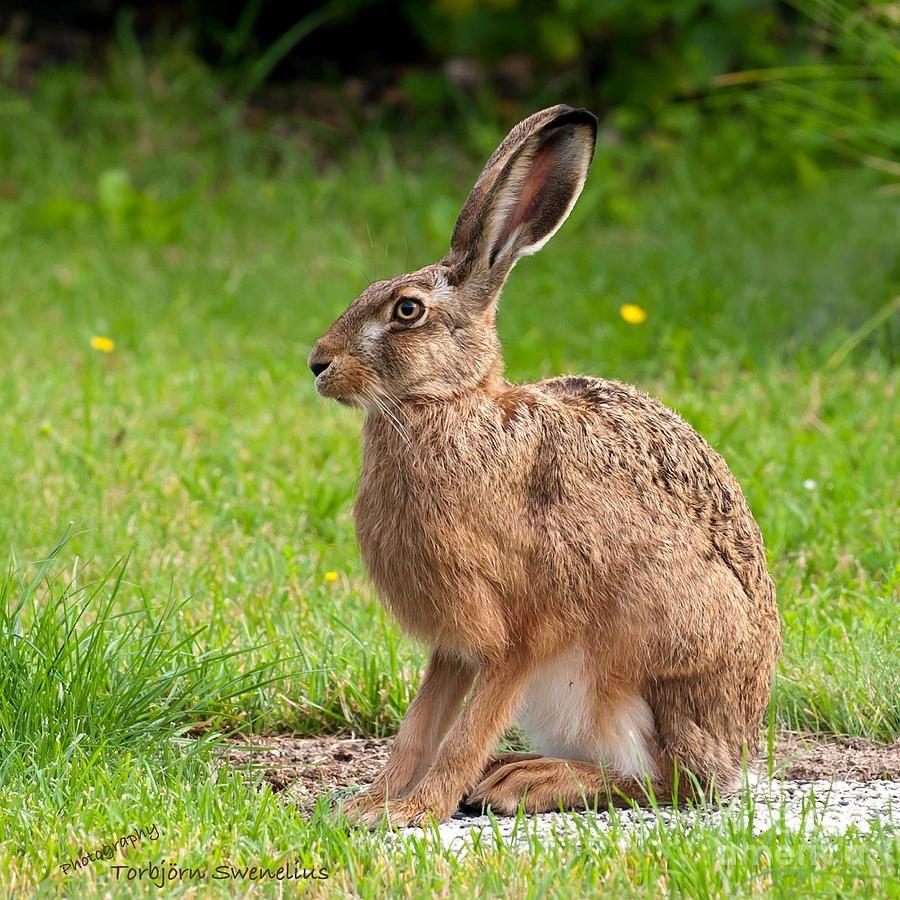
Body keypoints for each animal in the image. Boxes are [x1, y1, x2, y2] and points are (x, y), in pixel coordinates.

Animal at [308, 105, 781, 827]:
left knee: (671, 783)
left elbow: (465, 731)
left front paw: (413, 812)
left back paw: (532, 782)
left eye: (407, 310)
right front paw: (368, 805)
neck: (451, 406)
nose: (318, 363)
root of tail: (738, 752)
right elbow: (422, 724)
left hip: (651, 660)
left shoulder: (523, 633)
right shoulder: (455, 644)